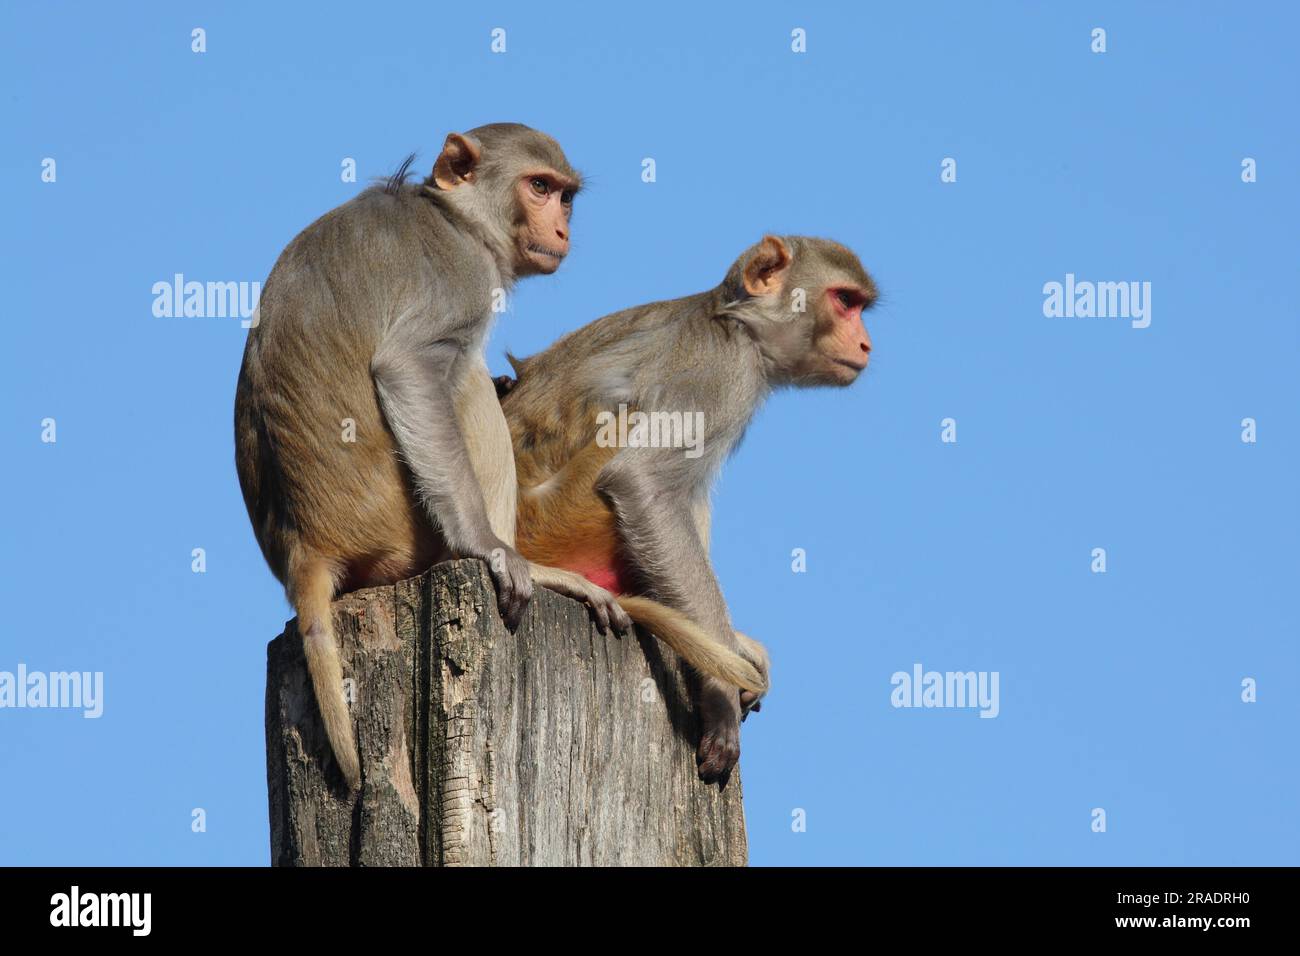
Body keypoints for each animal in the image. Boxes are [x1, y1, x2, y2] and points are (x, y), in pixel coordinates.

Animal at [234, 123, 632, 793]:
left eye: (565, 196)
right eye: (539, 187)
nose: (561, 230)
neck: (455, 217)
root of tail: (304, 548)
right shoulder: (462, 274)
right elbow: (410, 367)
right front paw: (489, 547)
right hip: (398, 528)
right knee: (461, 376)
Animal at [500, 235, 876, 782]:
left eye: (861, 306)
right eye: (845, 301)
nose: (866, 344)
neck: (736, 322)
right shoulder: (721, 374)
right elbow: (643, 483)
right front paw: (720, 697)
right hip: (558, 519)